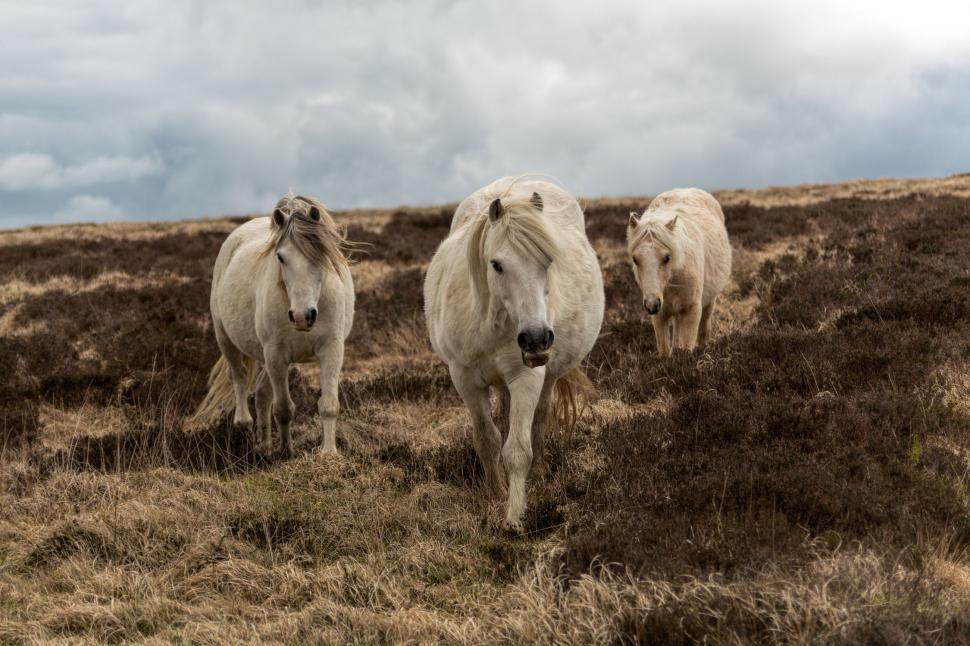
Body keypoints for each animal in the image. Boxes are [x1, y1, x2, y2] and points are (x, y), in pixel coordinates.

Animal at [191, 194, 355, 457]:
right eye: (280, 257)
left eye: (319, 254)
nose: (302, 316)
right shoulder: (276, 355)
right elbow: (284, 409)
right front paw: (286, 453)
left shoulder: (332, 350)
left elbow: (328, 405)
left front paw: (329, 454)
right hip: (227, 340)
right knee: (239, 378)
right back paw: (246, 430)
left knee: (261, 393)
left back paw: (265, 445)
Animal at [424, 176, 604, 531]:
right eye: (496, 264)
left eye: (549, 260)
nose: (536, 338)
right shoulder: (465, 379)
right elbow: (487, 439)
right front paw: (495, 494)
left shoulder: (526, 376)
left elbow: (519, 448)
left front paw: (514, 516)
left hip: (546, 377)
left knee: (538, 422)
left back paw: (539, 474)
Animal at [626, 188, 732, 356]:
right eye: (635, 259)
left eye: (667, 257)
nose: (651, 305)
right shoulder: (661, 315)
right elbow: (665, 350)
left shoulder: (692, 311)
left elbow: (687, 347)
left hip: (708, 303)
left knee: (704, 327)